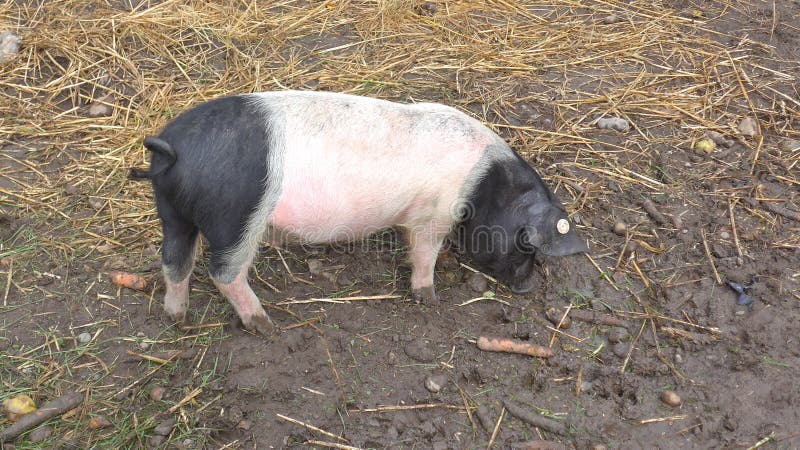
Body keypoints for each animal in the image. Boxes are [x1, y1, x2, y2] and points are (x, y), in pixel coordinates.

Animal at [130, 90, 588, 335]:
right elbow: (424, 253)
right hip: (237, 218)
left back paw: (178, 318)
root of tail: (173, 148)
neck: (485, 185)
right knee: (223, 271)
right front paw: (430, 298)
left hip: (172, 213)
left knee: (174, 261)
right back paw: (264, 324)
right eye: (527, 244)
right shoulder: (433, 214)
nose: (528, 288)